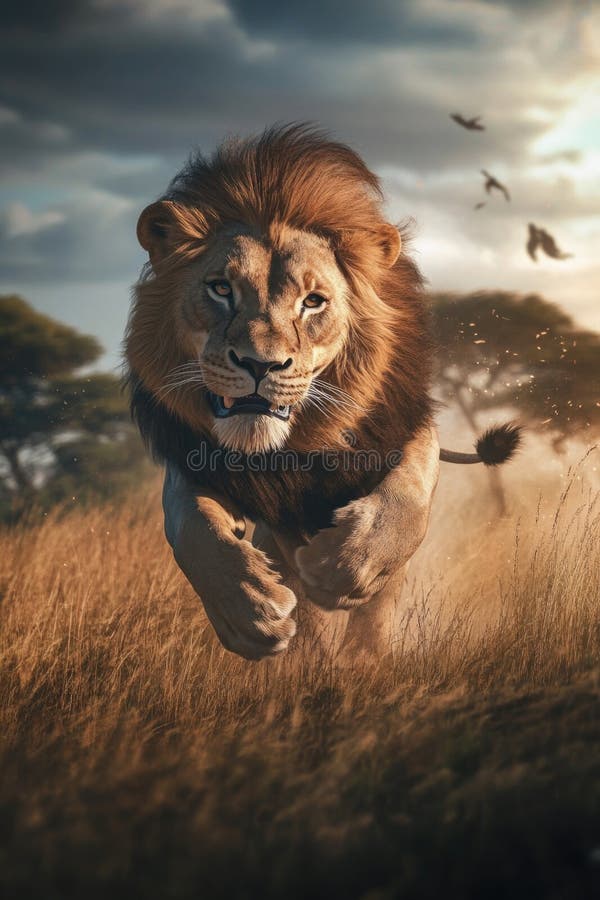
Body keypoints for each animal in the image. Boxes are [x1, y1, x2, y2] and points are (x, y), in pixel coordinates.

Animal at [125, 124, 520, 661]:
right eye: (221, 289)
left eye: (313, 302)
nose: (260, 364)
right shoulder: (193, 459)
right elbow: (193, 529)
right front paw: (250, 614)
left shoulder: (408, 433)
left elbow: (403, 505)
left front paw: (342, 571)